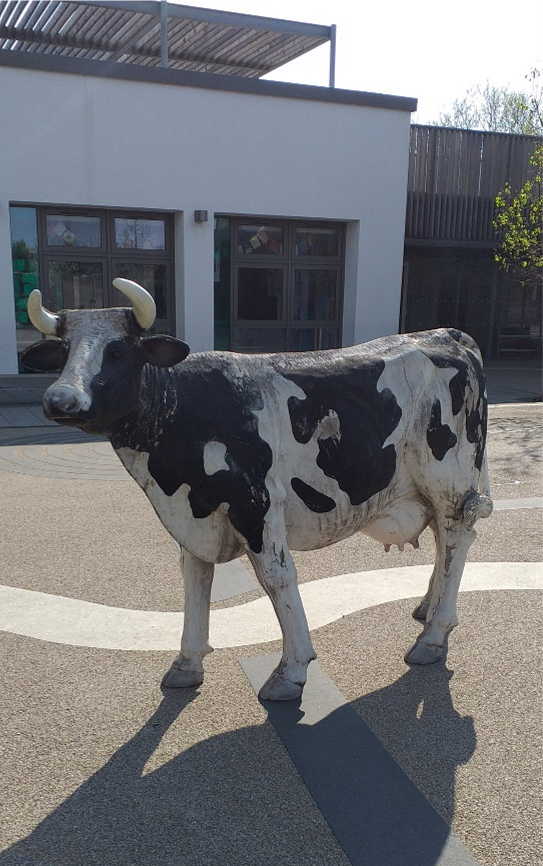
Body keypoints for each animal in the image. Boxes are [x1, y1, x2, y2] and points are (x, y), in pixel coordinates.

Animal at [22, 279, 493, 700]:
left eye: (118, 351)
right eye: (63, 352)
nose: (60, 400)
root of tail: (448, 334)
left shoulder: (256, 503)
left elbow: (277, 577)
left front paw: (292, 670)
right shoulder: (193, 514)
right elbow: (194, 578)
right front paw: (187, 663)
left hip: (450, 480)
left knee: (457, 539)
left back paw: (433, 636)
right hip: (427, 488)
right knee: (443, 541)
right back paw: (427, 608)